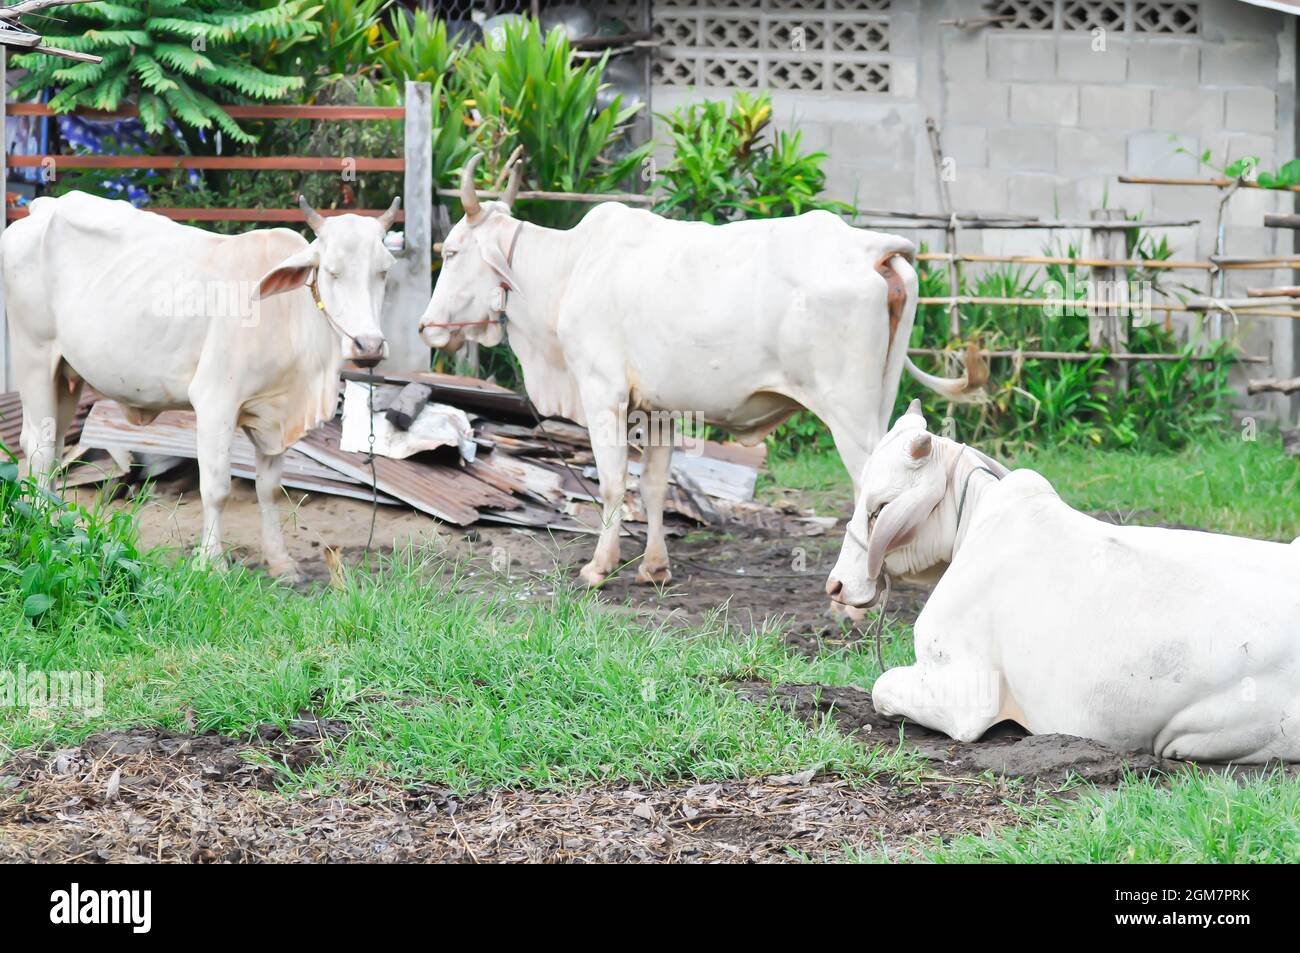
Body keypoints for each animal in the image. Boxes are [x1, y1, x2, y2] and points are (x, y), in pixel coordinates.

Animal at [4, 190, 401, 580]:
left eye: (383, 271)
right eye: (332, 272)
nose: (369, 345)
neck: (288, 314)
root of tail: (44, 208)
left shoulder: (275, 413)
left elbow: (270, 489)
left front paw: (281, 562)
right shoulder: (216, 402)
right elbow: (216, 488)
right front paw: (212, 564)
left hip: (66, 376)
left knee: (56, 447)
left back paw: (57, 524)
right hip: (33, 356)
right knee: (39, 449)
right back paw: (41, 527)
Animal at [418, 155, 985, 587]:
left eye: (452, 250)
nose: (426, 327)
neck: (570, 268)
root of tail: (871, 247)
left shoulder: (603, 394)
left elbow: (611, 483)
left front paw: (599, 568)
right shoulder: (659, 409)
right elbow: (651, 486)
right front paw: (654, 568)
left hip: (849, 411)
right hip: (882, 399)